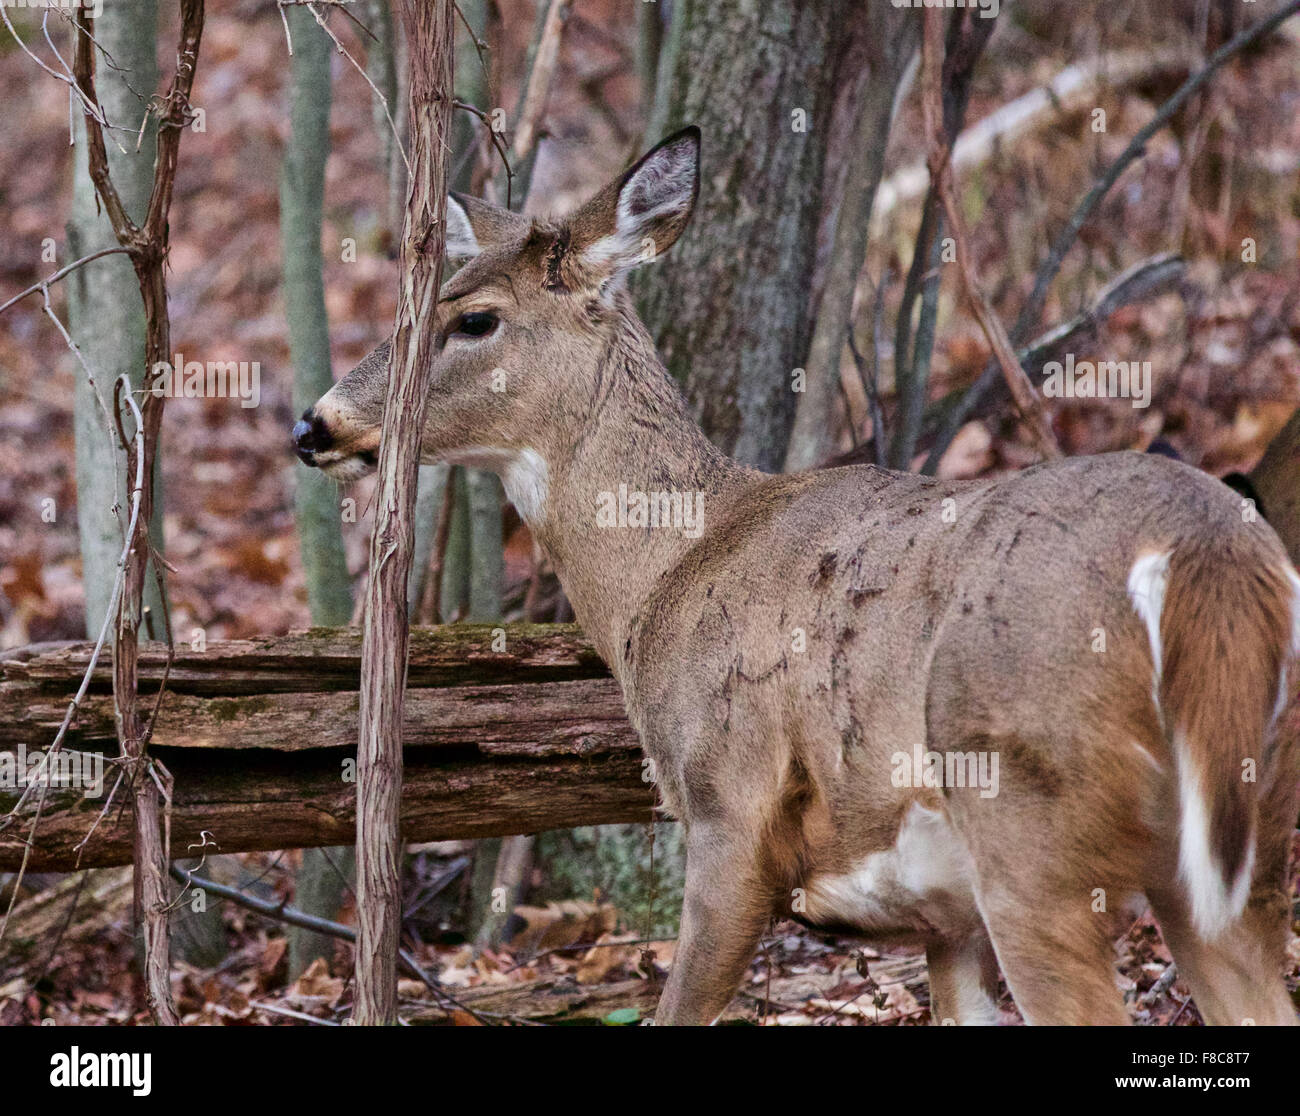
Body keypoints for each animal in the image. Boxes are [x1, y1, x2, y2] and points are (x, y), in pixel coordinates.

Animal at [294, 127, 1300, 1026]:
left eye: (474, 318)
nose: (313, 424)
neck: (669, 573)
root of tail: (1204, 552)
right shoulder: (945, 920)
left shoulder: (730, 812)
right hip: (1238, 851)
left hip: (1032, 832)